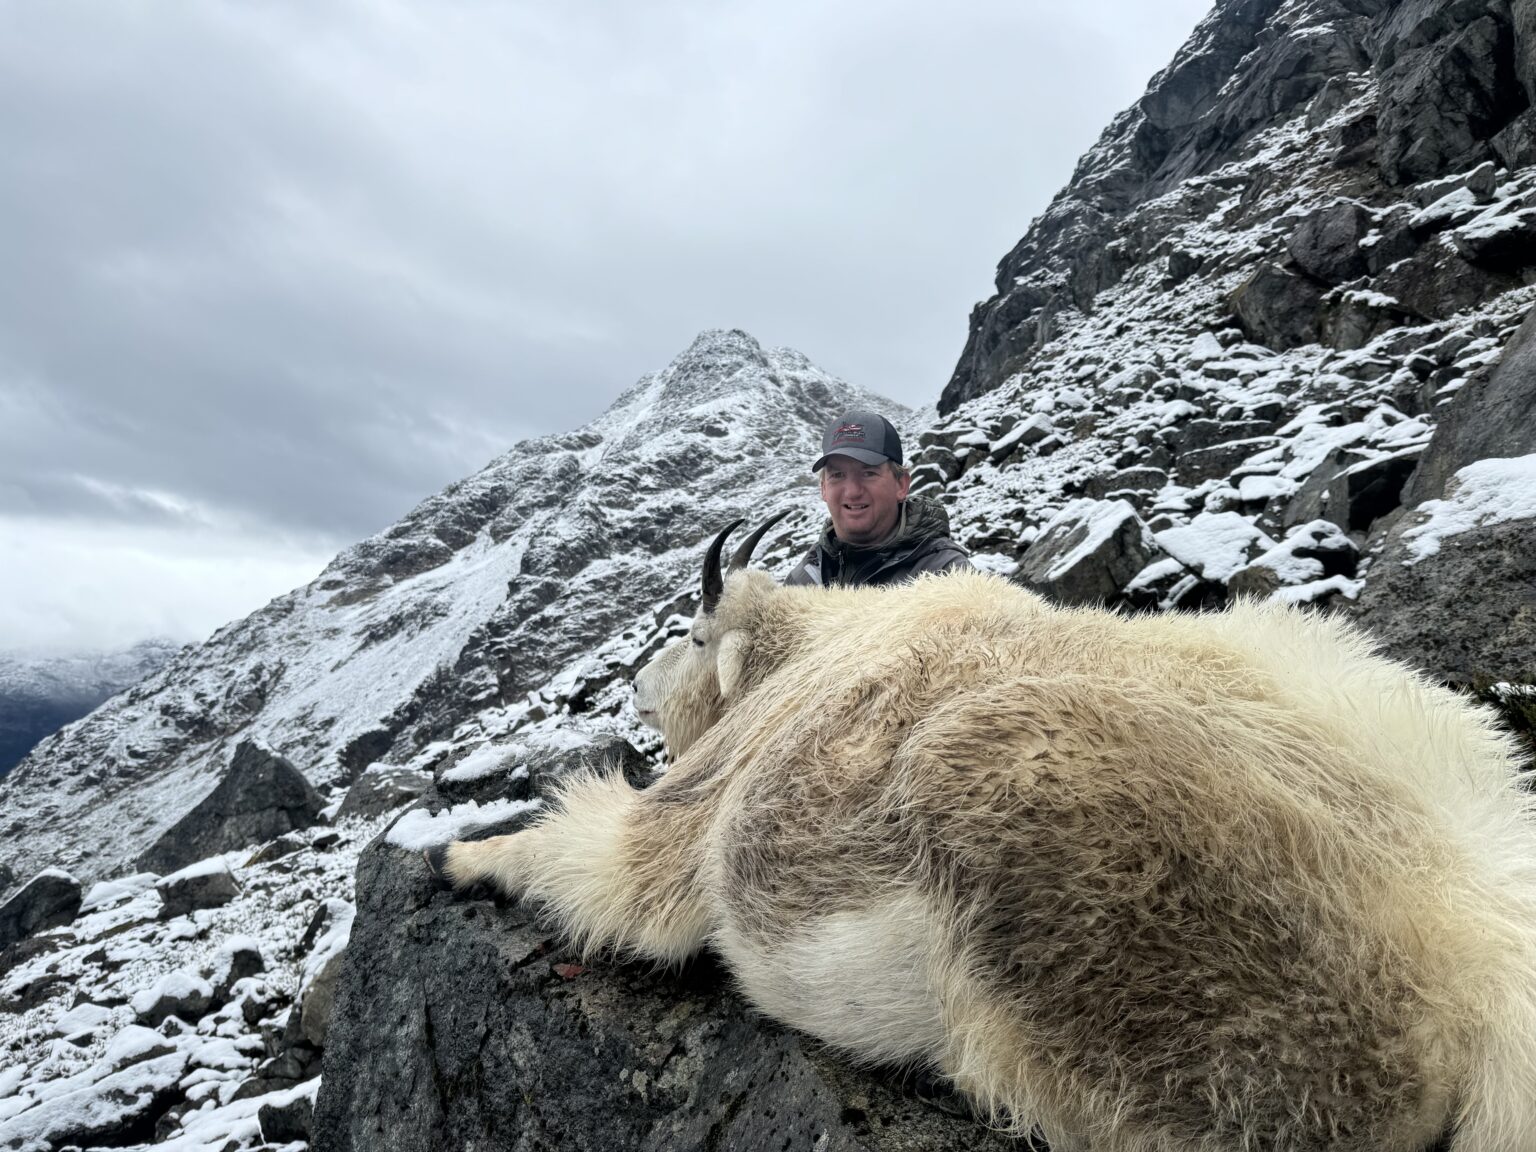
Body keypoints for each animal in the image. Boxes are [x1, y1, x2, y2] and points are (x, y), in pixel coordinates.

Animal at [432, 517, 1536, 1151]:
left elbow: (615, 872)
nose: (635, 683)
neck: (812, 649)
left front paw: (460, 855)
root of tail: (1491, 968)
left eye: (696, 635)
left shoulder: (698, 806)